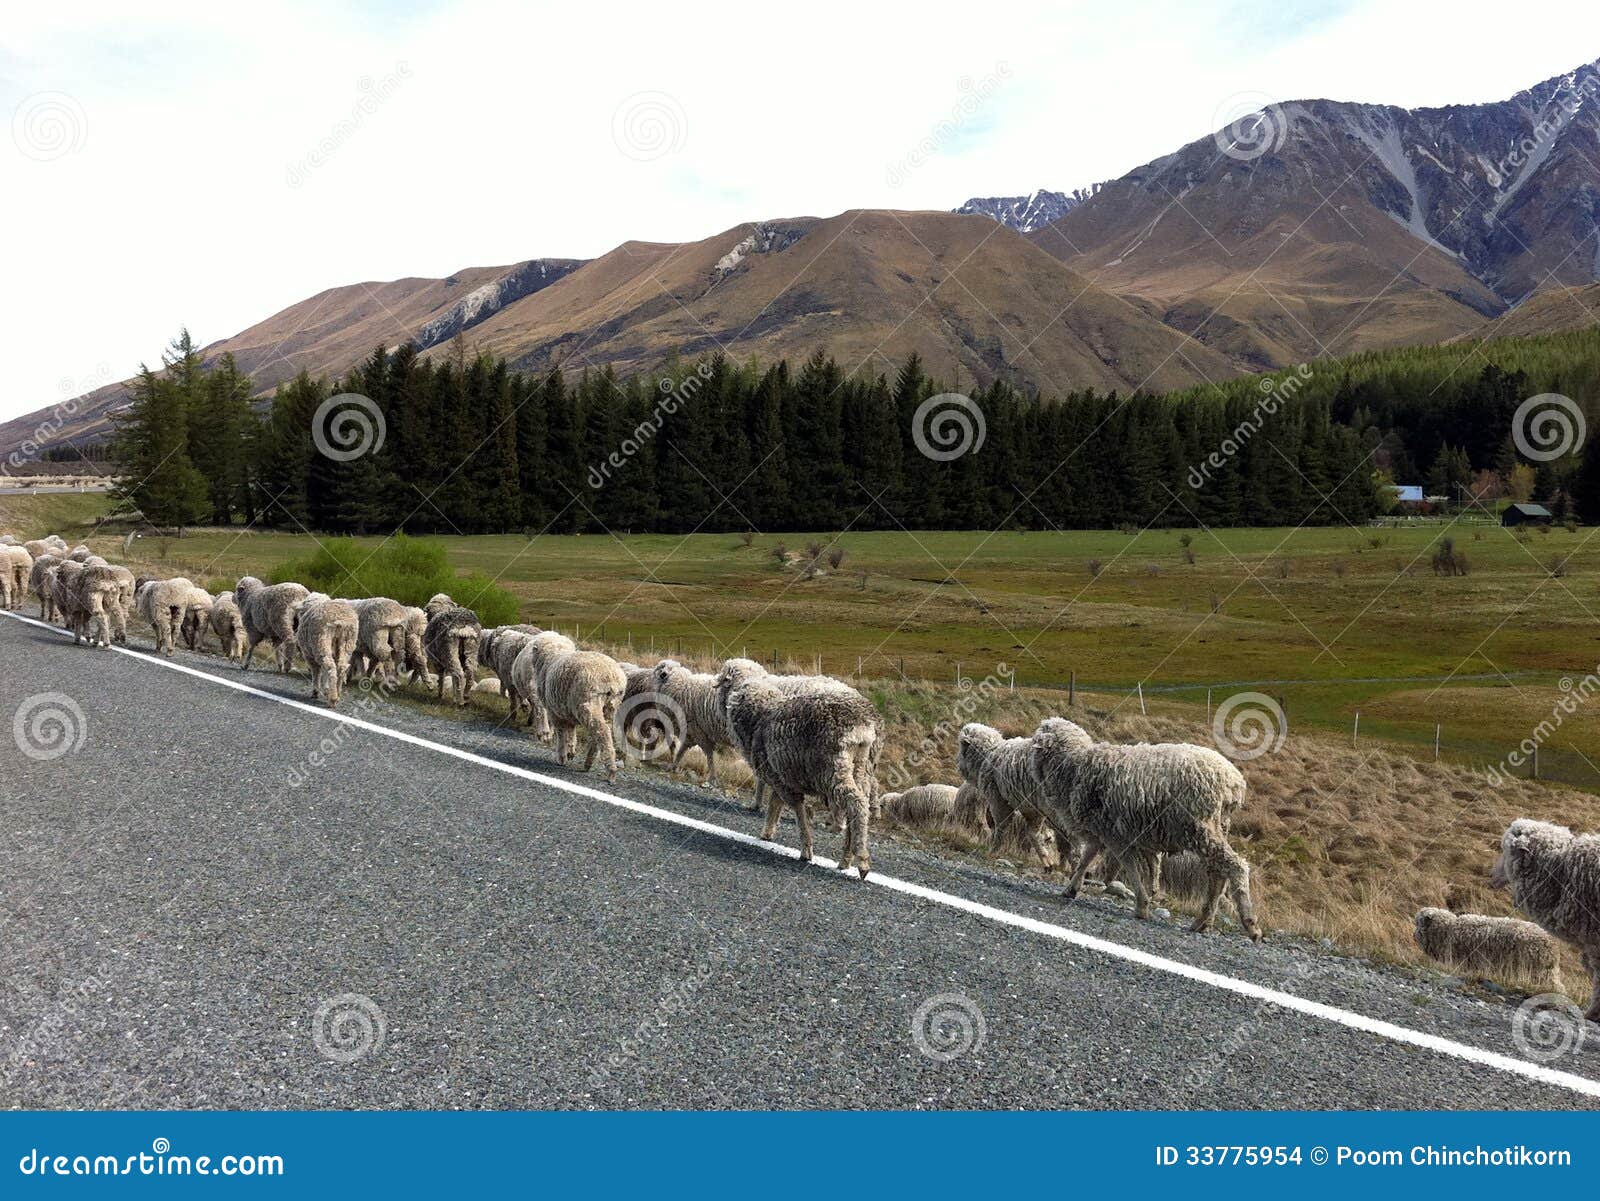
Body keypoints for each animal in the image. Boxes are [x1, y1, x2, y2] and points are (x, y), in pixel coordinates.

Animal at [715, 659, 879, 878]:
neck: (761, 715)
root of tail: (862, 726)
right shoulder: (780, 775)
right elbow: (775, 804)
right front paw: (767, 832)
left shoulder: (780, 779)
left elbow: (797, 810)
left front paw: (806, 849)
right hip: (860, 766)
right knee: (859, 805)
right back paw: (846, 858)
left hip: (833, 768)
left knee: (856, 803)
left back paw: (861, 859)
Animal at [1029, 717, 1262, 940]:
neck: (1074, 766)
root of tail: (1234, 781)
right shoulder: (1101, 831)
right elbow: (1086, 859)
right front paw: (1071, 888)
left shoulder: (1115, 835)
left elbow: (1129, 867)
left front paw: (1142, 905)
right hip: (1217, 826)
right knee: (1217, 872)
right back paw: (1203, 922)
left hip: (1200, 826)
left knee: (1234, 866)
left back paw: (1250, 925)